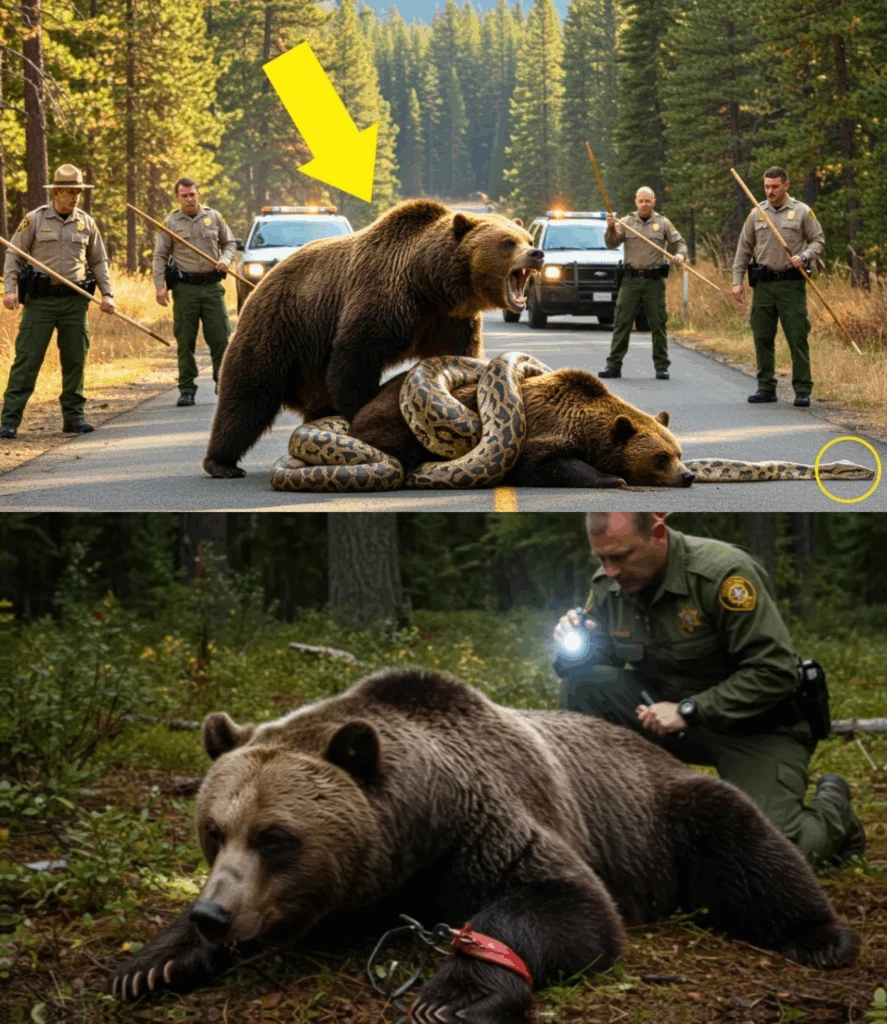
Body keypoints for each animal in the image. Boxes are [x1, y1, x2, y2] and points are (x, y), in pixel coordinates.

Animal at [110, 669, 859, 1021]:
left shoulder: (484, 827)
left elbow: (564, 902)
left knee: (746, 839)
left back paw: (821, 934)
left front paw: (450, 996)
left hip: (661, 815)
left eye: (275, 837)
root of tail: (650, 746)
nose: (216, 914)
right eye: (214, 831)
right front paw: (151, 964)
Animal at [203, 200, 543, 479]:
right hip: (279, 329)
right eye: (507, 242)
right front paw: (363, 419)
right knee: (247, 398)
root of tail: (258, 286)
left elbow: (457, 352)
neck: (429, 285)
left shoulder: (450, 320)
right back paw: (222, 463)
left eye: (527, 238)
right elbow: (353, 361)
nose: (536, 254)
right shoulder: (384, 299)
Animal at [349, 365, 696, 488]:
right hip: (395, 424)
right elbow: (550, 464)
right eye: (661, 457)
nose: (687, 475)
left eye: (678, 453)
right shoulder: (544, 433)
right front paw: (612, 478)